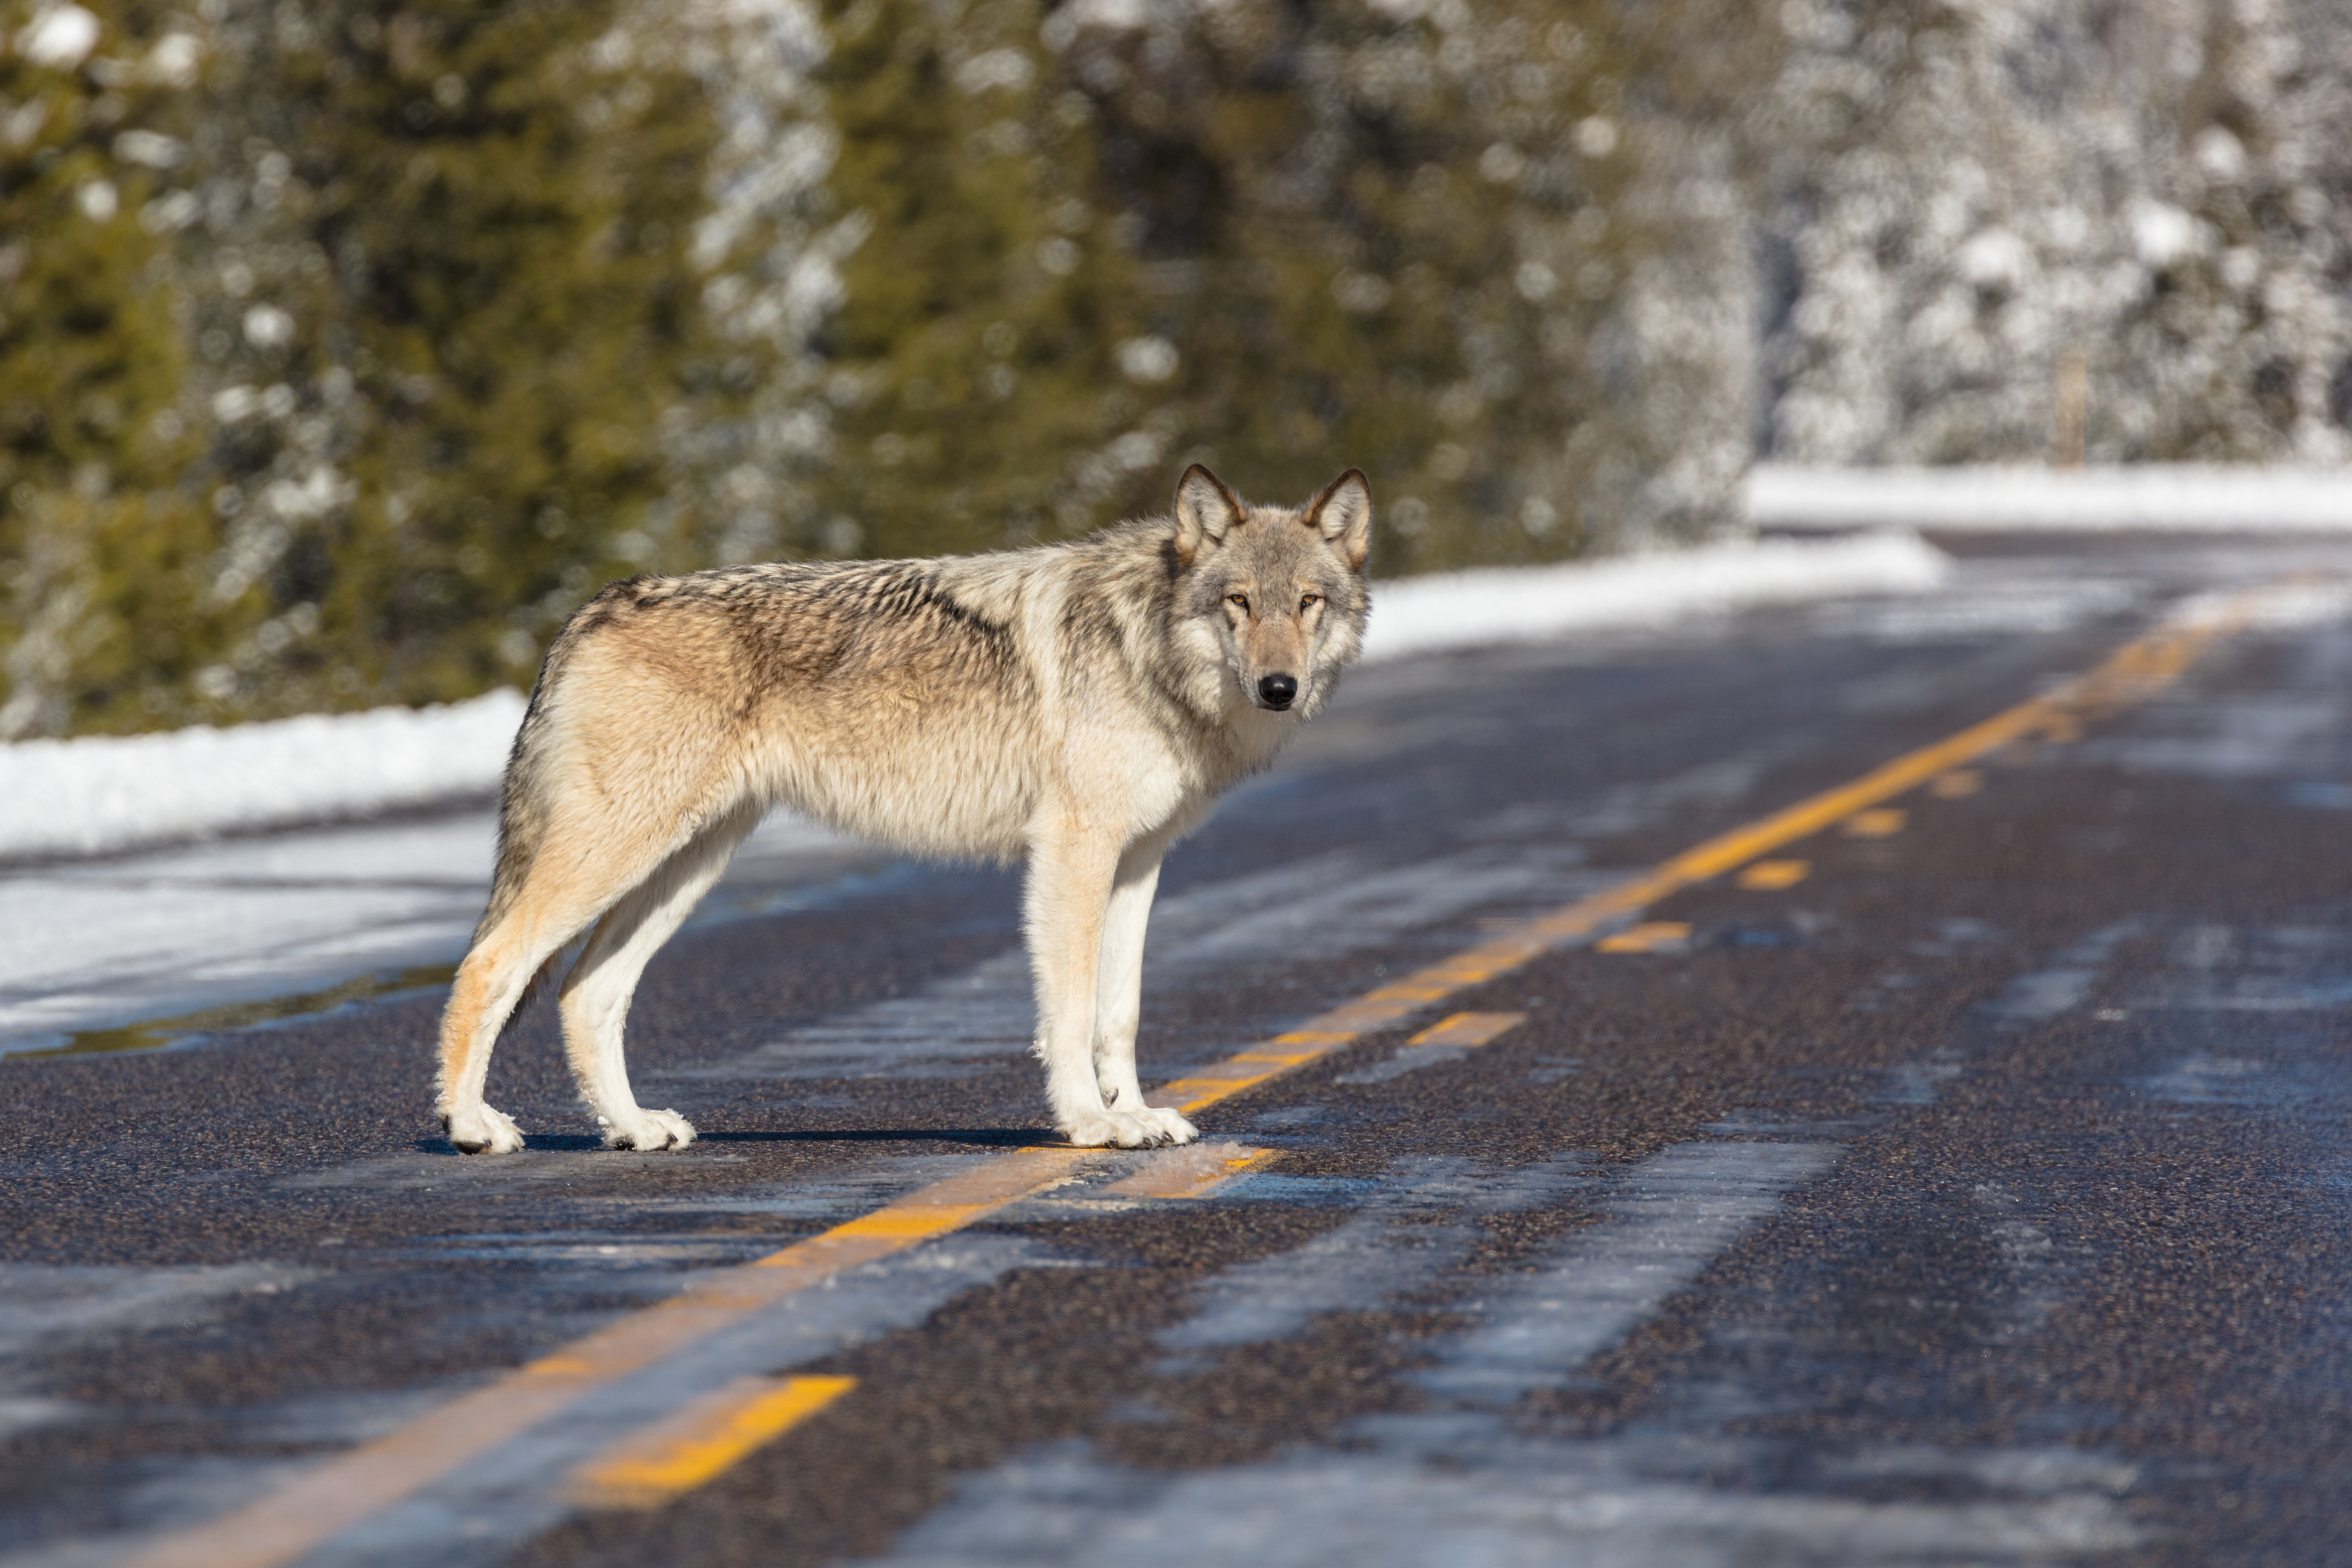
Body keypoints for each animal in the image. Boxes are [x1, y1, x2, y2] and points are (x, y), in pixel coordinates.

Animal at [434, 465, 1374, 1155]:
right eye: (1238, 602)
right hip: (621, 854)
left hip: (685, 867)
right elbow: (1070, 1011)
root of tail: (594, 606)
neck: (1147, 648)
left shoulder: (1138, 862)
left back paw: (632, 1128)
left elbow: (1120, 1012)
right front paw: (1089, 1124)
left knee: (585, 993)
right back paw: (472, 1126)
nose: (1279, 687)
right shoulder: (1072, 851)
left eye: (1307, 603)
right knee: (490, 963)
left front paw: (1134, 1113)